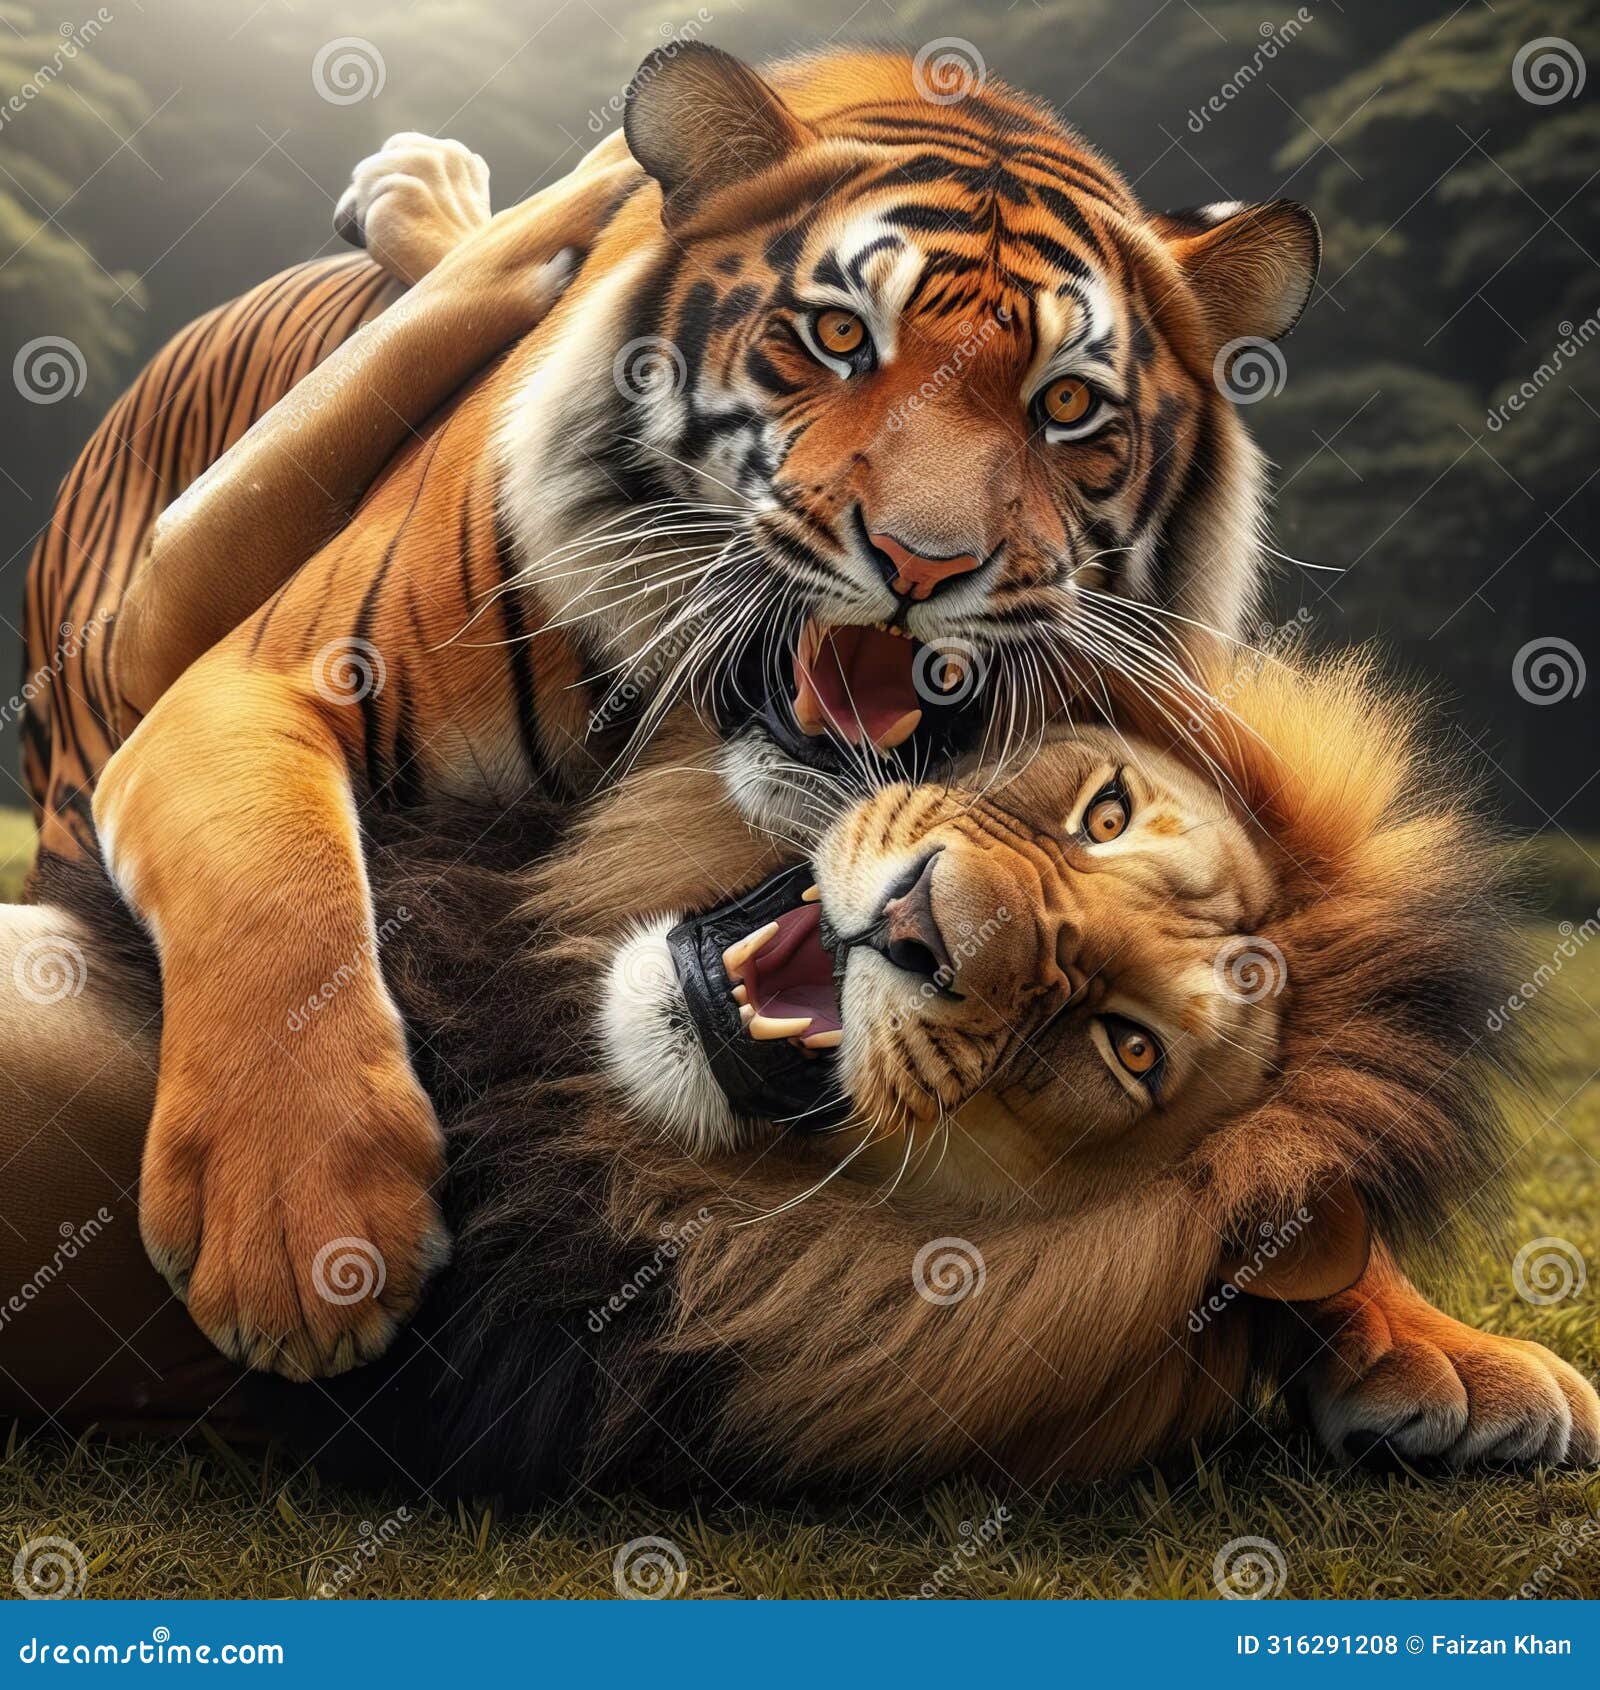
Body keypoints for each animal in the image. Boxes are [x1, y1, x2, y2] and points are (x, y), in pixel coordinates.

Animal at [20, 44, 1322, 1380]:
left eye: (1066, 406)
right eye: (837, 337)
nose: (922, 563)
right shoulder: (263, 676)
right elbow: (276, 885)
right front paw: (304, 1233)